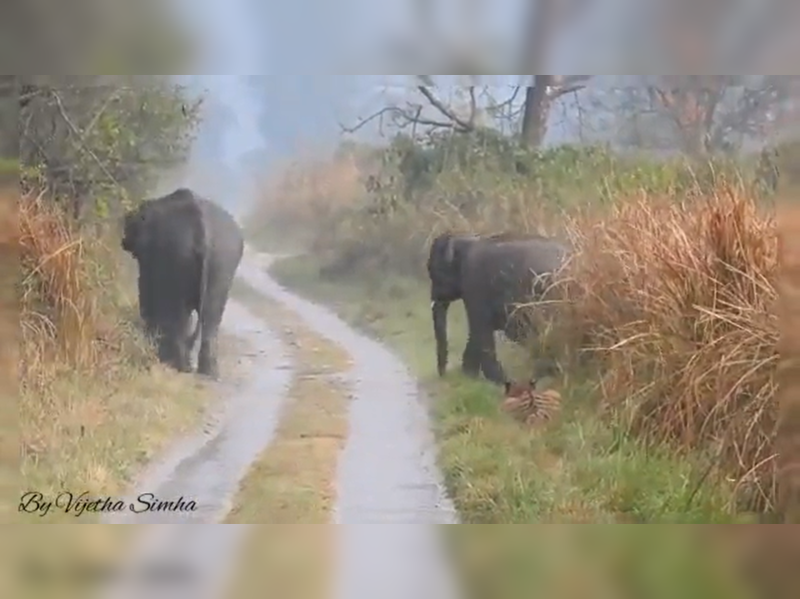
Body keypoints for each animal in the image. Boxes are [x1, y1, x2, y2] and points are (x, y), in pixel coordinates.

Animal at [121, 187, 244, 379]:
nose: (123, 240)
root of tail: (203, 234)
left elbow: (146, 289)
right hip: (223, 264)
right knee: (211, 316)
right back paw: (208, 372)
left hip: (178, 256)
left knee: (178, 312)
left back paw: (176, 363)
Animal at [427, 231, 570, 384]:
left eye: (433, 271)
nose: (443, 375)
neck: (467, 239)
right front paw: (469, 377)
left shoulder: (474, 282)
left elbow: (480, 329)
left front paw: (500, 381)